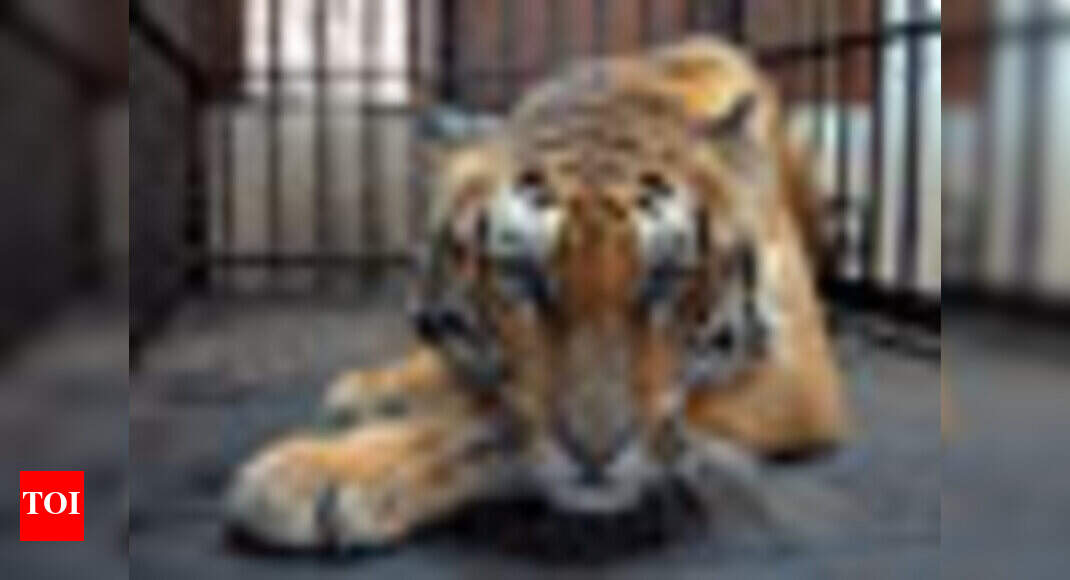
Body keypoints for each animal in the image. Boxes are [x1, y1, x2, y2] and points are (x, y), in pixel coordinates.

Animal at [224, 38, 850, 550]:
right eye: (521, 272)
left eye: (667, 275)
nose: (597, 455)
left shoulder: (793, 378)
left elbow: (490, 419)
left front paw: (324, 471)